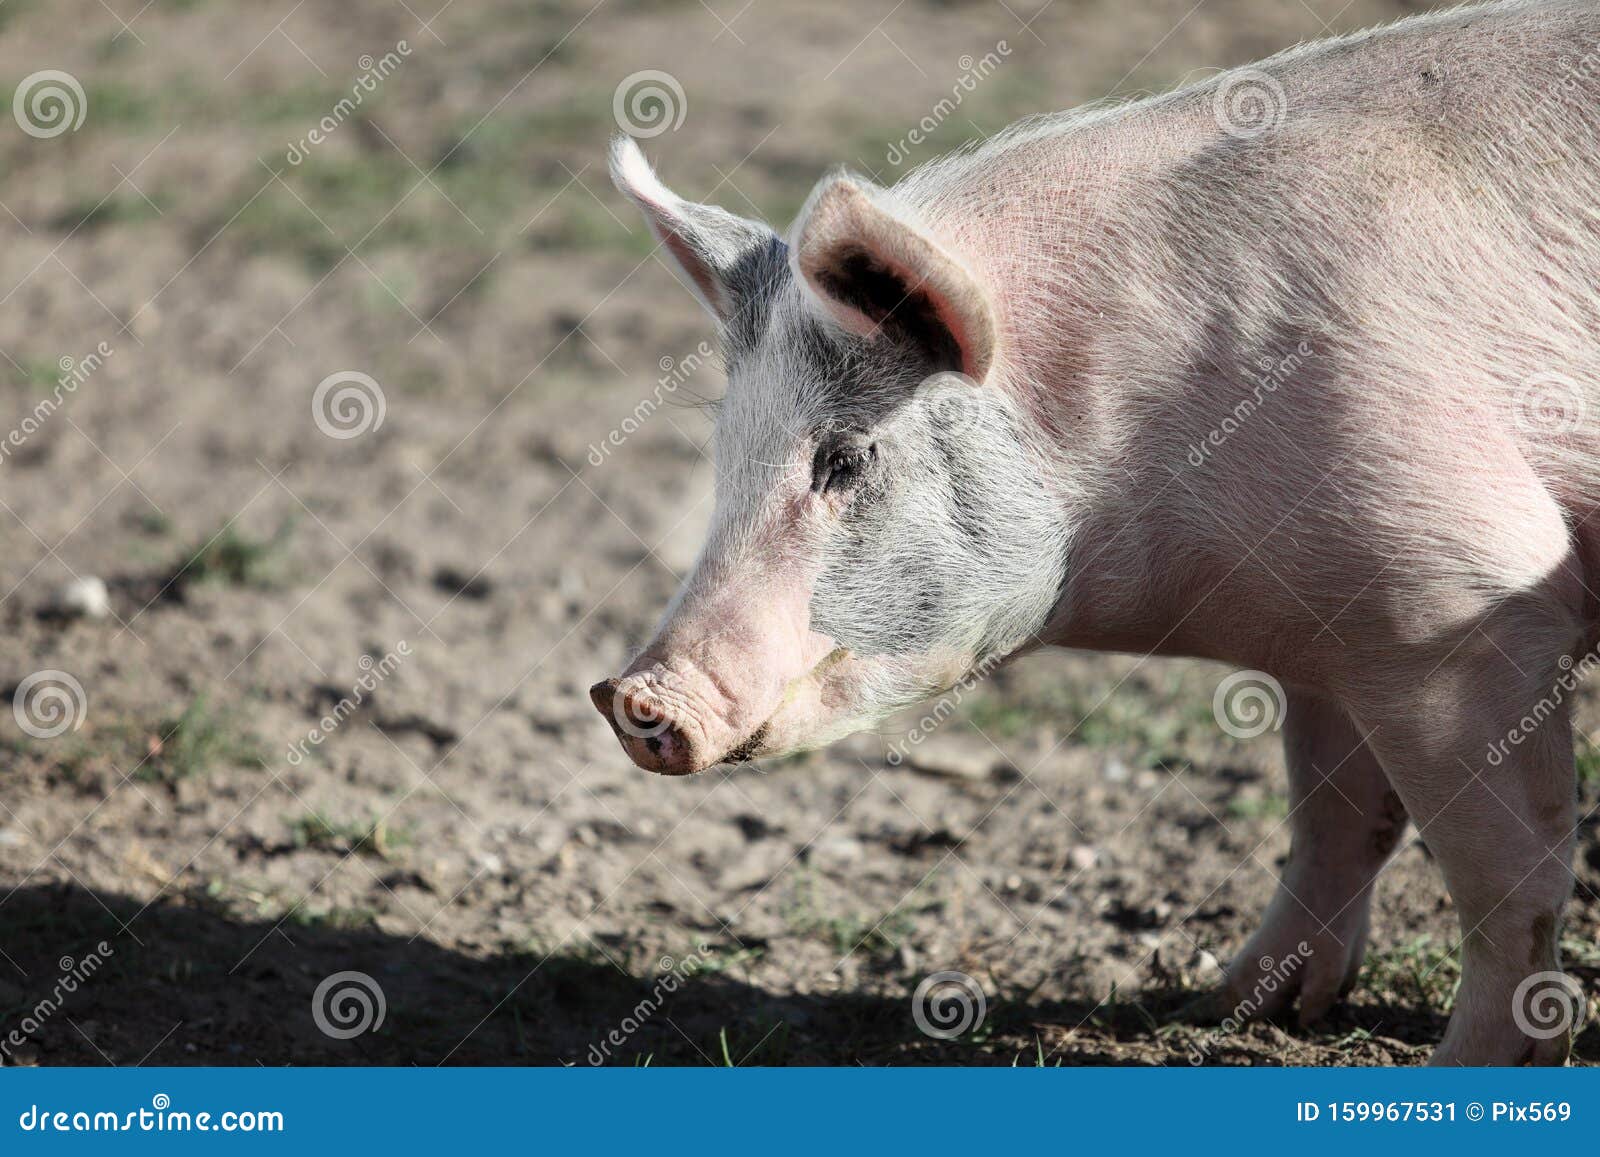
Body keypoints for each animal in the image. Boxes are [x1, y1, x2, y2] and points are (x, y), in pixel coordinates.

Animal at [591, 0, 1600, 1065]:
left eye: (844, 458)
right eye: (724, 450)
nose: (632, 692)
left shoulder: (1456, 596)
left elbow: (1513, 873)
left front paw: (1468, 1061)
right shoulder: (1332, 632)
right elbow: (1337, 820)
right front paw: (1233, 1007)